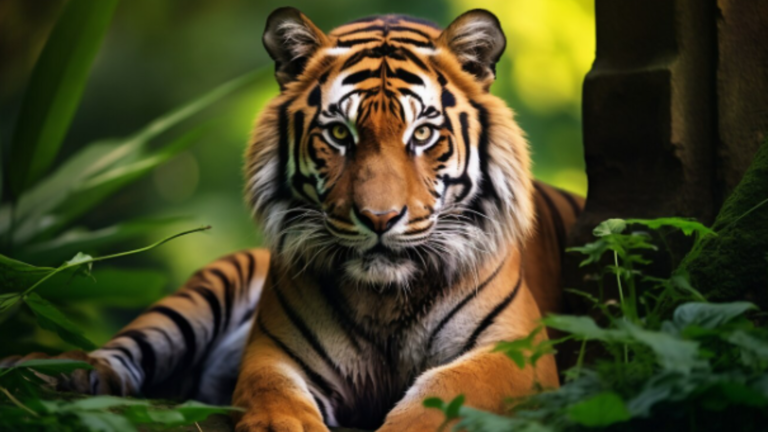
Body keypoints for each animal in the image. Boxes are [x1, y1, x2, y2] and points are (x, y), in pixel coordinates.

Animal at [1, 8, 585, 432]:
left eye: (422, 134)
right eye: (340, 134)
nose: (379, 219)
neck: (386, 299)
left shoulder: (515, 352)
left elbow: (439, 400)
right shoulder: (275, 354)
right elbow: (274, 398)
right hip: (203, 293)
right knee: (119, 354)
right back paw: (50, 374)